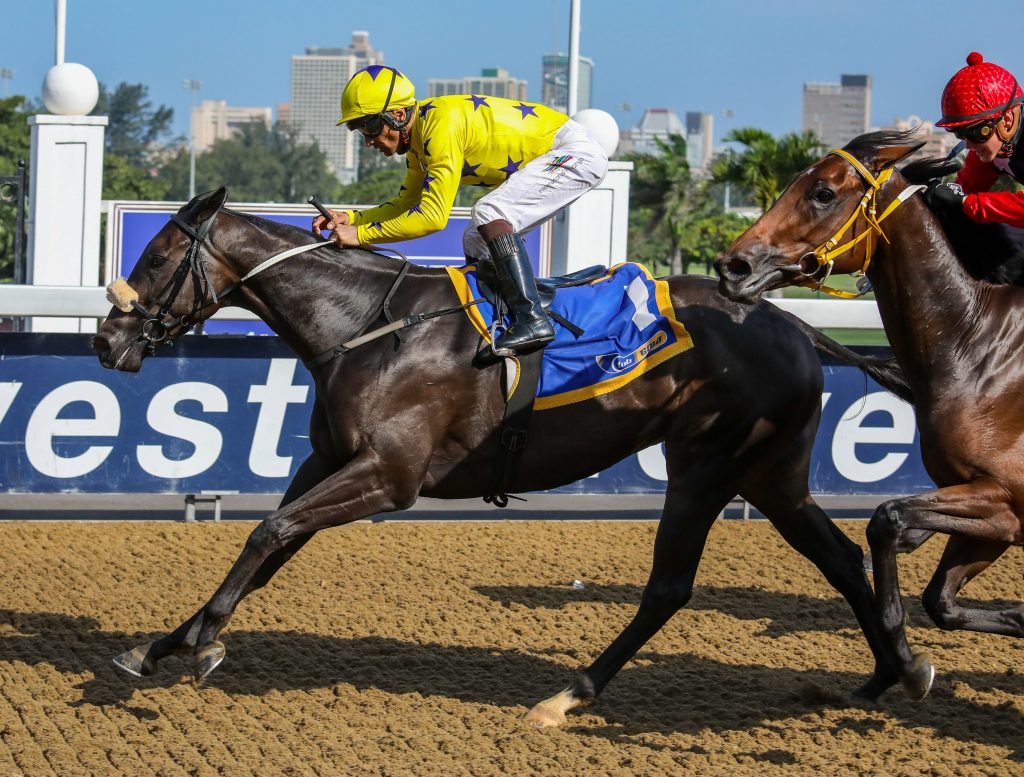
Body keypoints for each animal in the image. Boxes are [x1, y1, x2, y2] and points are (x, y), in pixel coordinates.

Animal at [91, 187, 923, 727]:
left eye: (158, 256)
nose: (106, 338)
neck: (368, 326)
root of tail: (787, 320)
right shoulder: (327, 461)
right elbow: (269, 545)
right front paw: (162, 645)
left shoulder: (389, 477)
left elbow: (268, 533)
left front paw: (204, 643)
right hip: (772, 473)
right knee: (841, 558)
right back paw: (896, 669)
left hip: (707, 464)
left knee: (669, 588)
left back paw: (571, 692)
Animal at [715, 128, 1024, 698]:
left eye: (823, 193)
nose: (733, 266)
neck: (976, 344)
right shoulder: (988, 509)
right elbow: (939, 599)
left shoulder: (1006, 499)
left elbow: (887, 519)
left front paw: (906, 665)